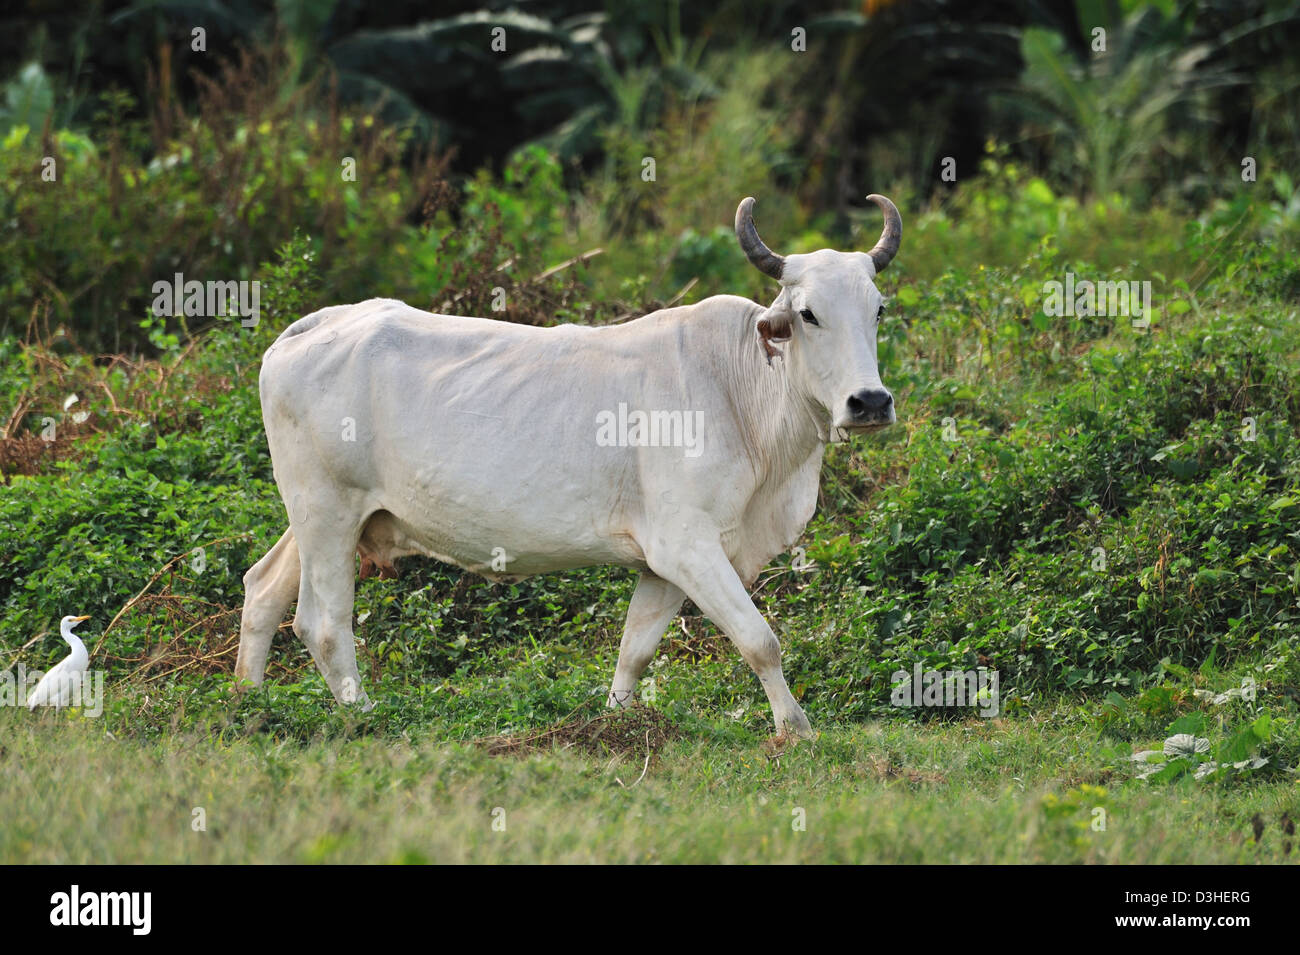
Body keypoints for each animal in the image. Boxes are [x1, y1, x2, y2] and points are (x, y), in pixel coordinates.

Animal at [234, 194, 901, 738]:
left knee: (262, 588)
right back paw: (365, 715)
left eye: (877, 311)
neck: (744, 390)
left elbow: (635, 650)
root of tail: (310, 326)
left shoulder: (663, 560)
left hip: (321, 516)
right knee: (322, 623)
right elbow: (760, 640)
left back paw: (247, 705)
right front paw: (796, 730)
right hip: (327, 512)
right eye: (809, 314)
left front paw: (615, 722)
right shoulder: (688, 543)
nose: (869, 402)